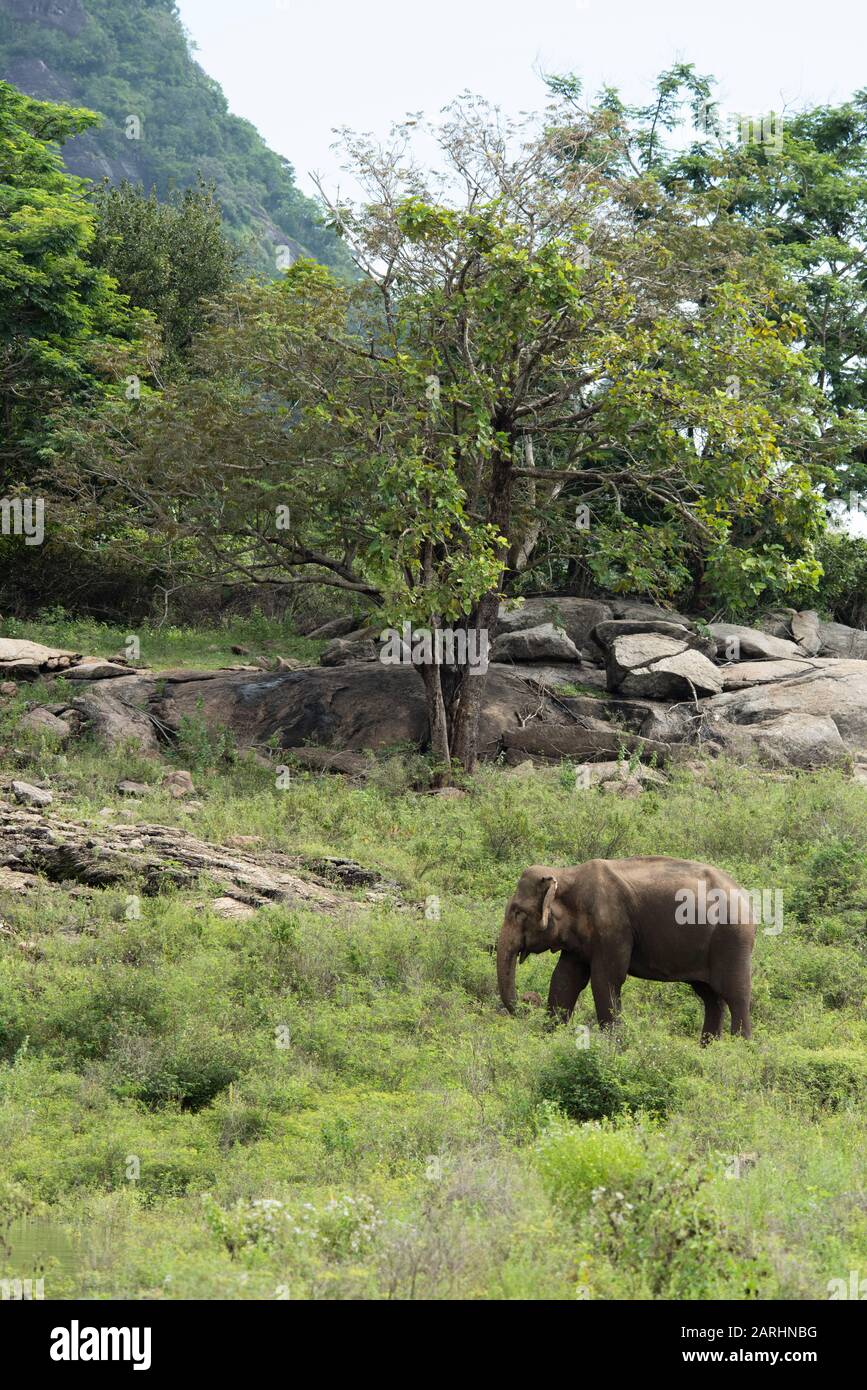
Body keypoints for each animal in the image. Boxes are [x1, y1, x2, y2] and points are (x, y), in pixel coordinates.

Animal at [496, 857, 756, 1043]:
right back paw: (708, 1049)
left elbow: (606, 979)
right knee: (711, 997)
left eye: (518, 912)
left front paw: (614, 1046)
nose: (530, 999)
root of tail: (744, 894)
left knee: (735, 994)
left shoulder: (613, 926)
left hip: (732, 939)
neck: (567, 874)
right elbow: (564, 979)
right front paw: (550, 1039)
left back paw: (739, 1048)